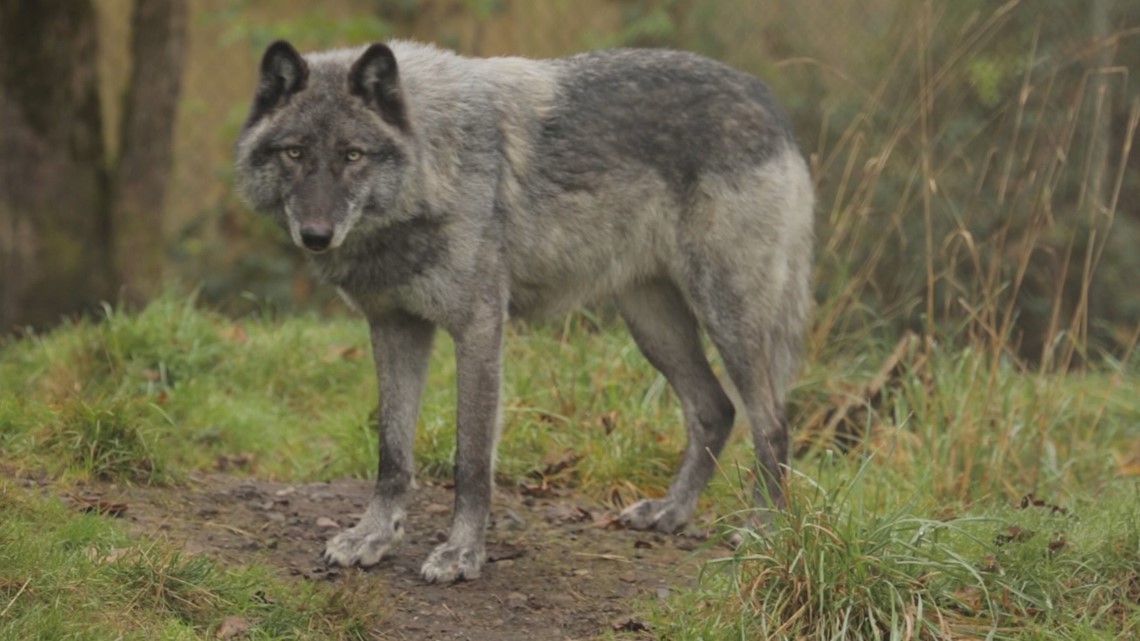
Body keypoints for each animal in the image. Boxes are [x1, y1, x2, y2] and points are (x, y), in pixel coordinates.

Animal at [234, 39, 813, 583]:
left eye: (353, 155)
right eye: (294, 153)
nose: (315, 235)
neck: (437, 165)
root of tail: (767, 101)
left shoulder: (479, 329)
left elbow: (471, 461)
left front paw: (462, 553)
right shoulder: (395, 327)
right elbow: (392, 453)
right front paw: (373, 537)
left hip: (726, 316)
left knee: (771, 423)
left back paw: (762, 532)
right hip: (653, 326)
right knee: (716, 409)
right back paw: (670, 512)